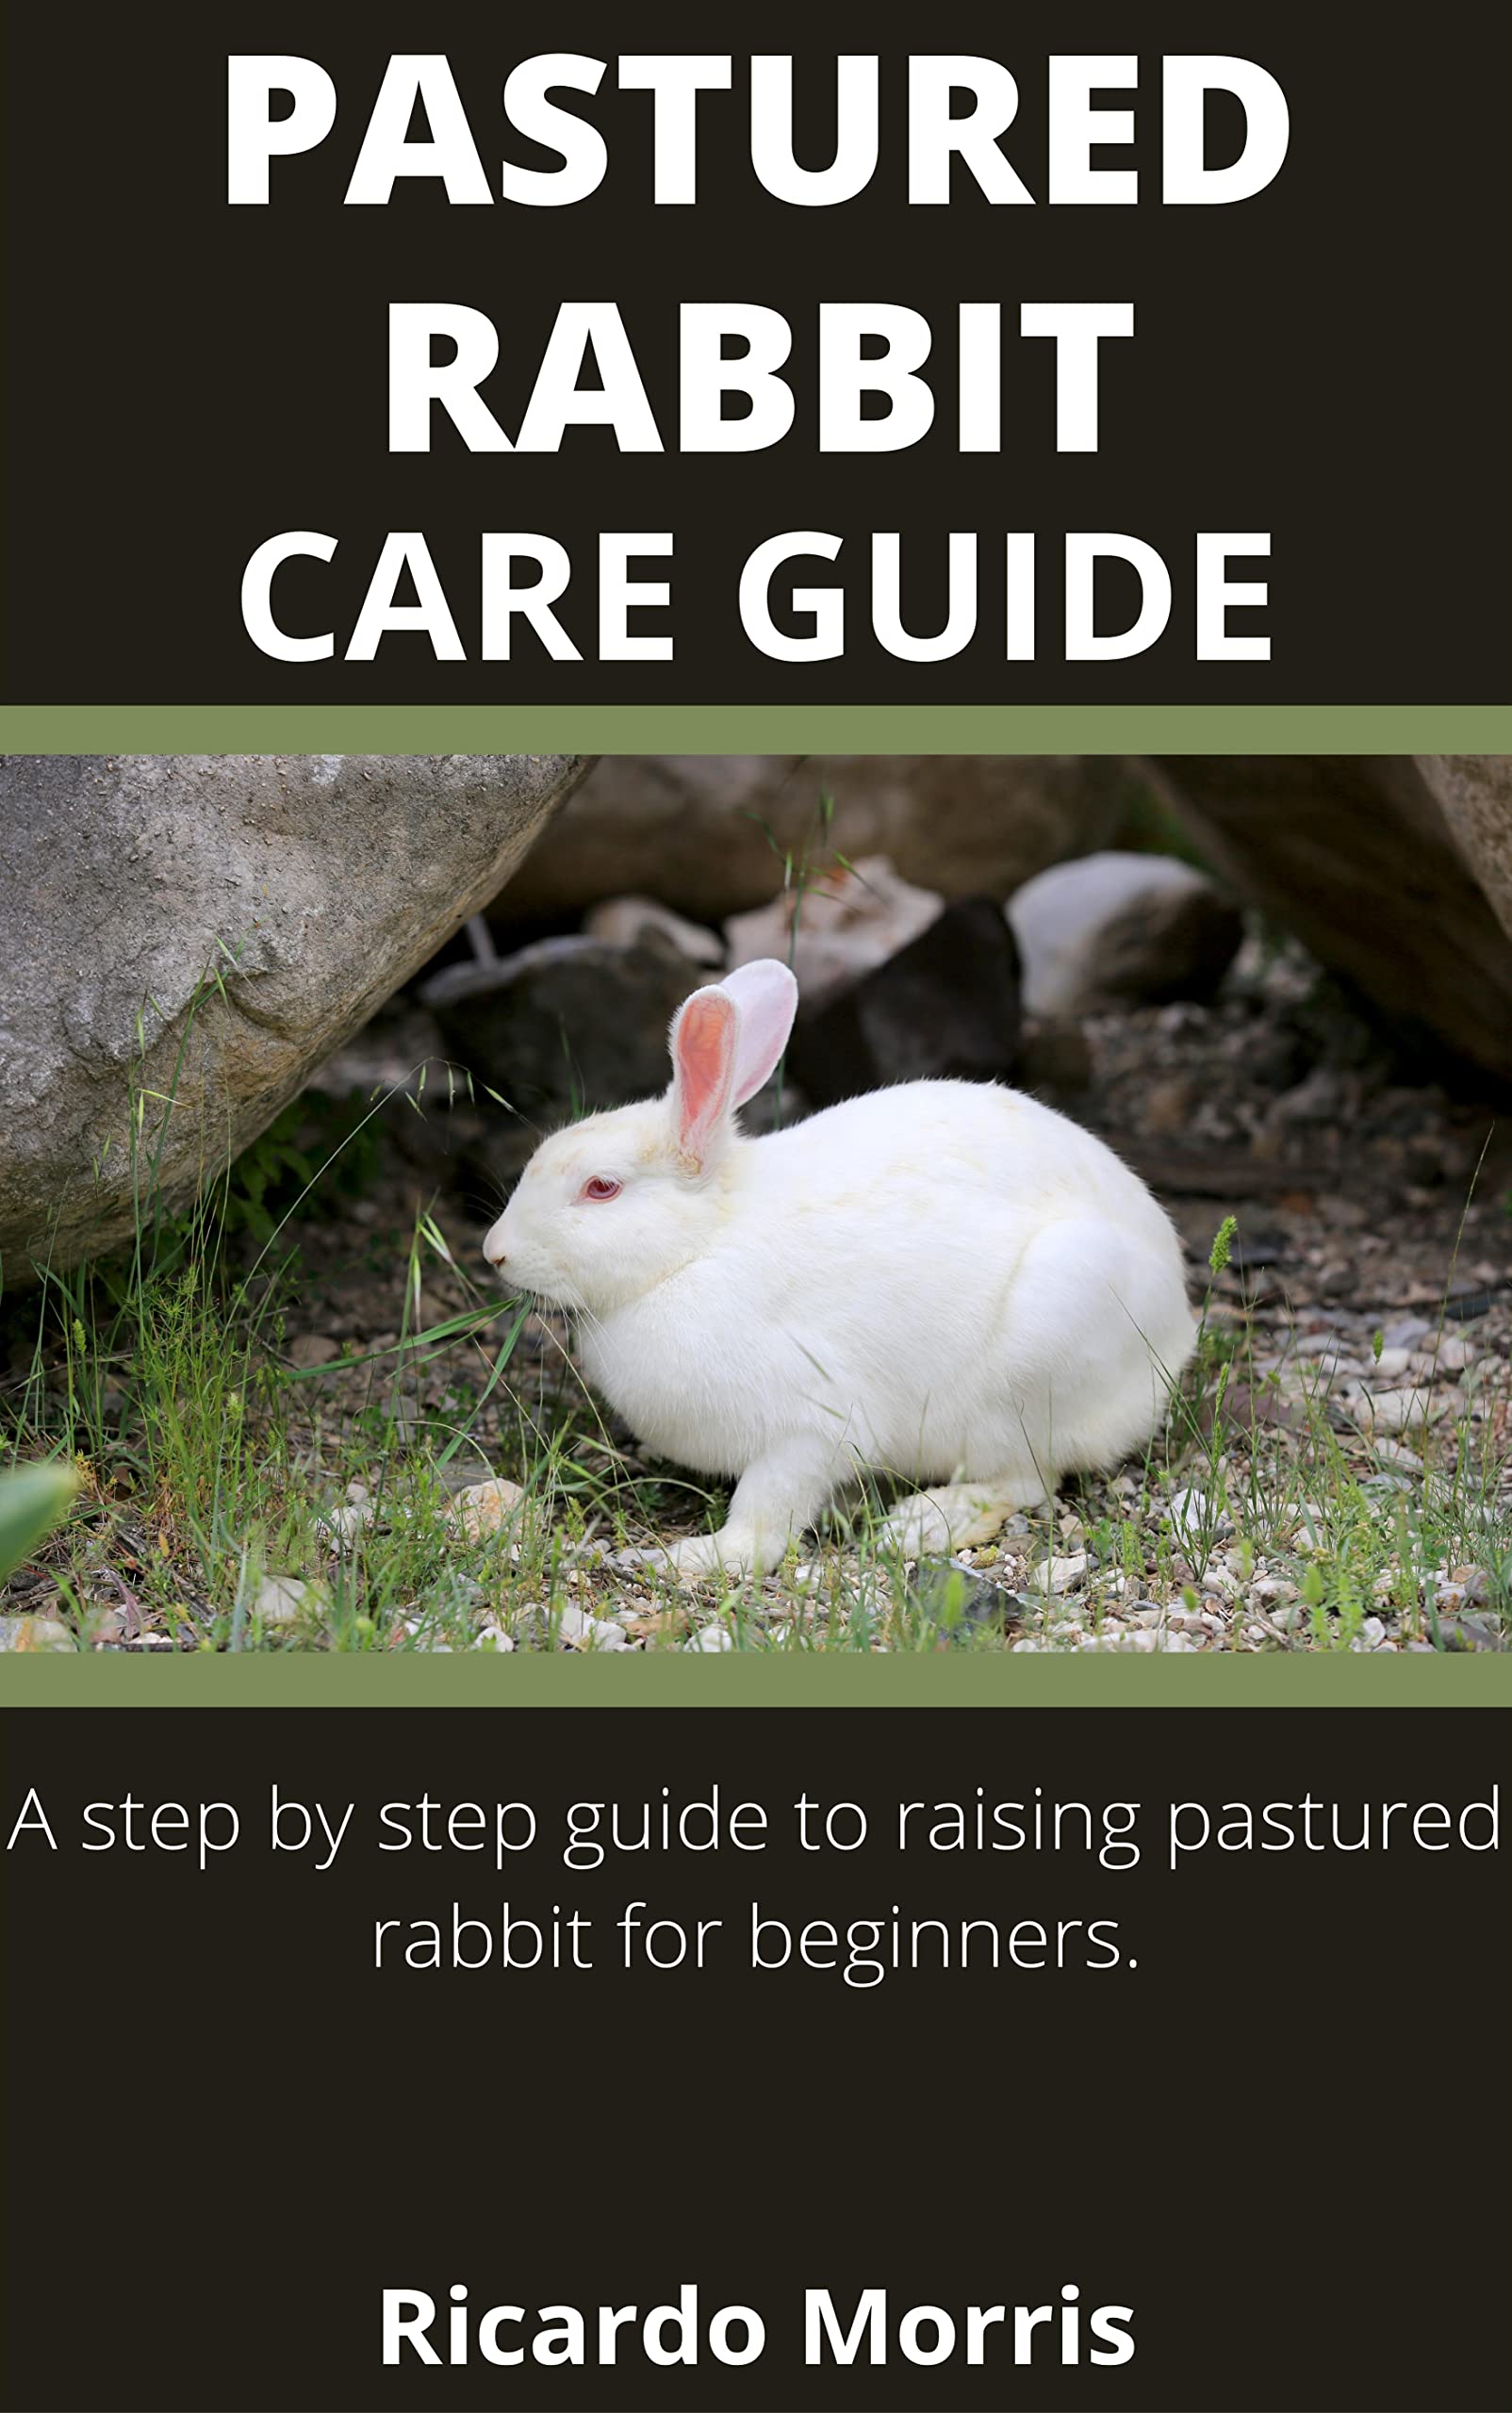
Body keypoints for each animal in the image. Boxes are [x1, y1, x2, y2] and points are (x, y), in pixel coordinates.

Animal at [482, 958, 1197, 1576]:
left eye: (601, 1188)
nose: (495, 1251)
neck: (698, 1247)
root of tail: (1176, 1336)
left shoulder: (809, 1427)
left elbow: (765, 1516)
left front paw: (695, 1558)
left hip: (1032, 1368)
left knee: (1027, 1479)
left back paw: (919, 1524)